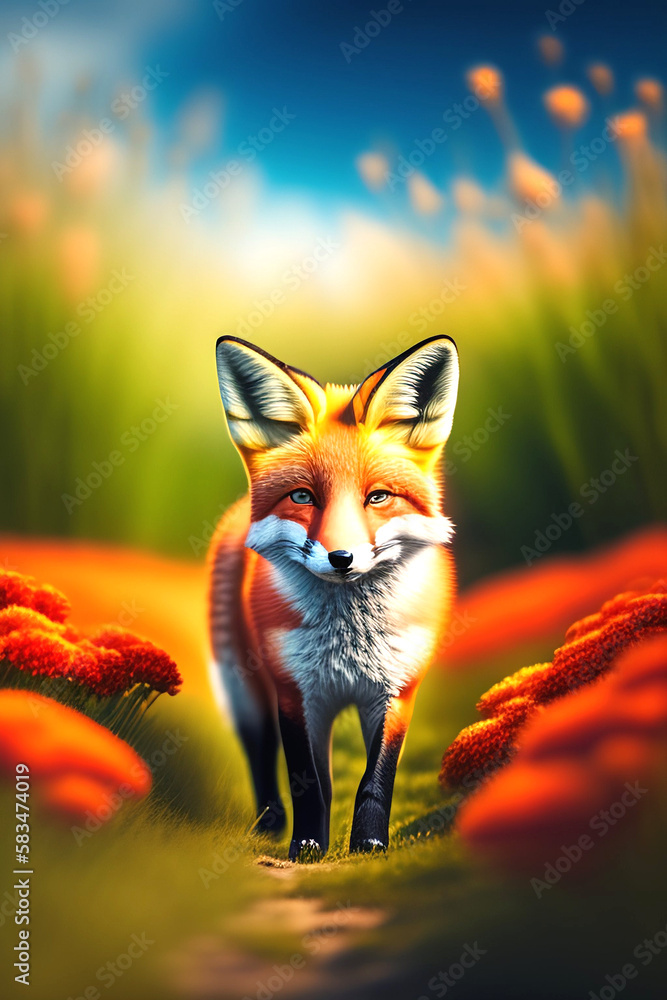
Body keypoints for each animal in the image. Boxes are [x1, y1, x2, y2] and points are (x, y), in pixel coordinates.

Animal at [208, 334, 459, 861]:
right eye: (303, 497)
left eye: (378, 497)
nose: (341, 558)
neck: (349, 640)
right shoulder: (293, 691)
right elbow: (307, 780)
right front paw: (306, 845)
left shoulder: (397, 689)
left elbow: (374, 781)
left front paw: (368, 843)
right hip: (245, 686)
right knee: (261, 754)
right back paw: (270, 823)